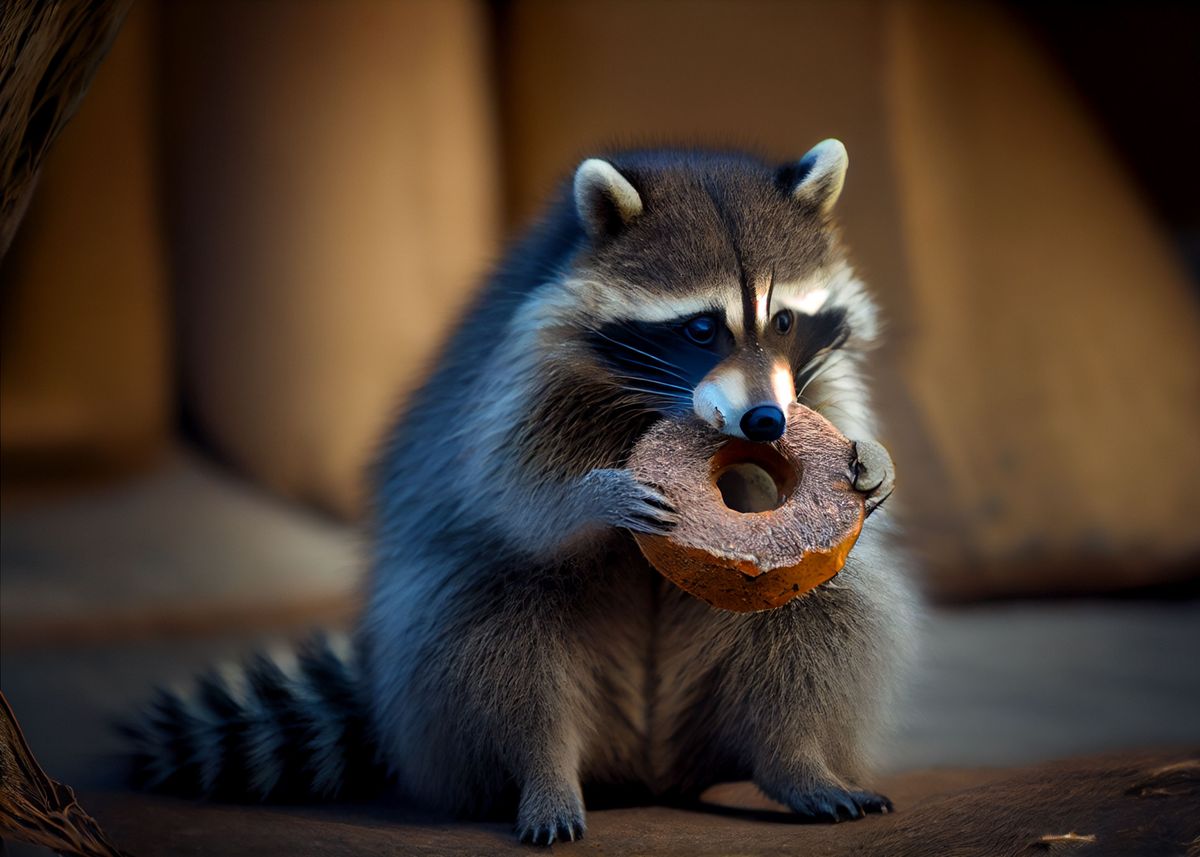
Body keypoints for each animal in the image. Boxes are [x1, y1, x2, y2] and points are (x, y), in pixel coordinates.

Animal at [124, 140, 916, 845]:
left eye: (783, 320)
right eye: (700, 328)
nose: (764, 422)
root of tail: (650, 768)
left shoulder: (813, 380)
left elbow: (832, 443)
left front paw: (873, 459)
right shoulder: (520, 365)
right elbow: (511, 491)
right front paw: (594, 497)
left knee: (827, 609)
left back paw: (796, 759)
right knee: (493, 623)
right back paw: (543, 772)